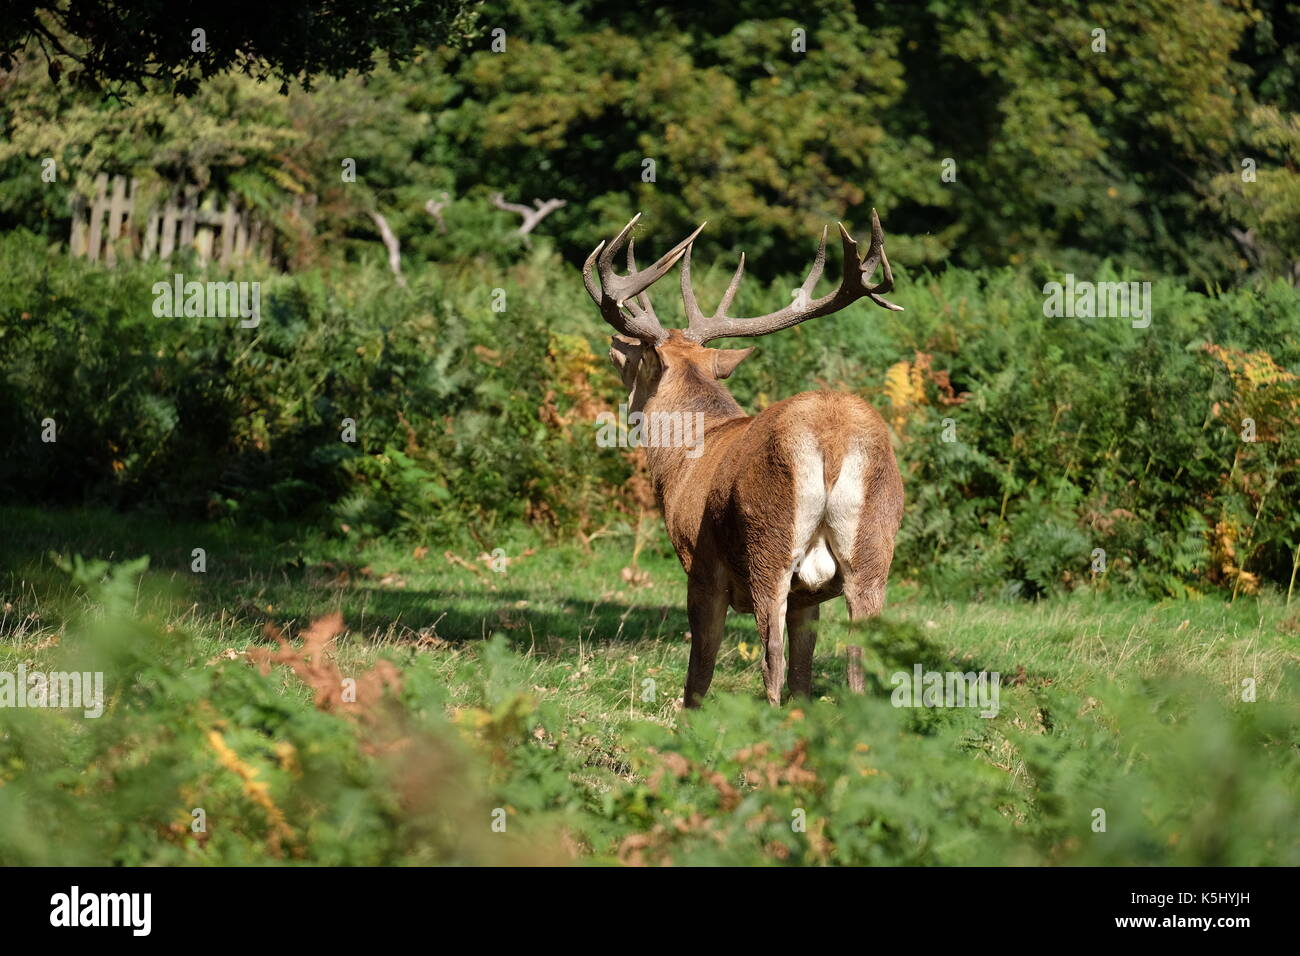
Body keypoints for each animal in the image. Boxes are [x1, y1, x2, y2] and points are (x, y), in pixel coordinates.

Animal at [582, 208, 906, 707]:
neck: (684, 457)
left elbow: (700, 671)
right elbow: (804, 675)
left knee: (770, 659)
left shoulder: (700, 565)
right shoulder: (809, 598)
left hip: (767, 544)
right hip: (873, 547)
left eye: (636, 358)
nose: (616, 344)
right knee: (855, 664)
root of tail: (831, 439)